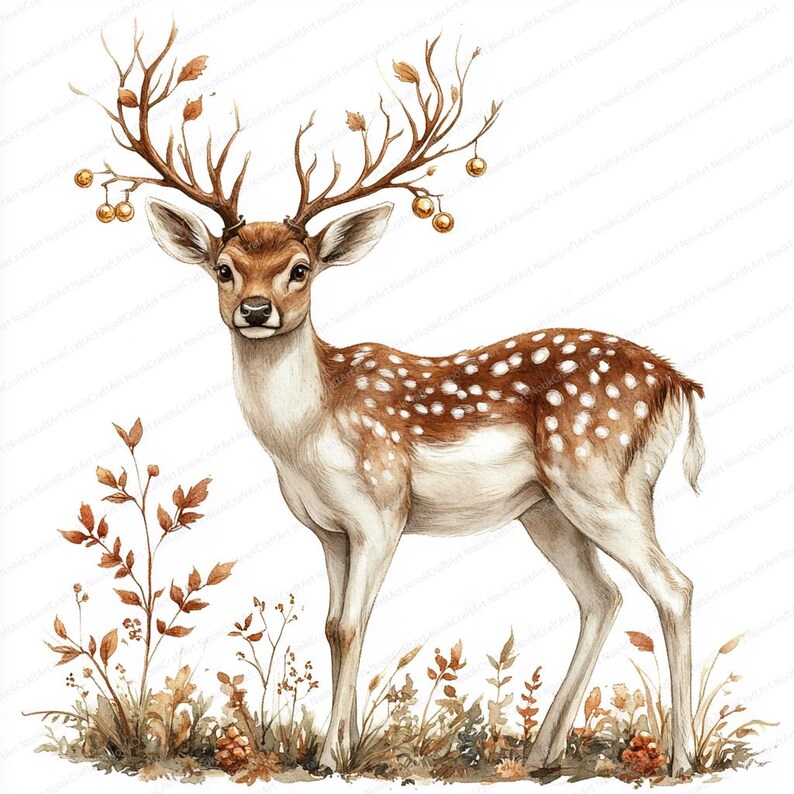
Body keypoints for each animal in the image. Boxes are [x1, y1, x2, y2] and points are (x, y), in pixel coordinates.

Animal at [74, 24, 705, 776]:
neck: (307, 435)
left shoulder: (382, 508)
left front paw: (328, 757)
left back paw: (681, 759)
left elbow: (352, 623)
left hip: (603, 481)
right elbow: (333, 626)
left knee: (672, 586)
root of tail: (678, 382)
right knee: (602, 596)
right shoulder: (328, 528)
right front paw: (341, 746)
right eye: (223, 270)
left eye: (301, 269)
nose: (255, 310)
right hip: (548, 510)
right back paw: (543, 753)